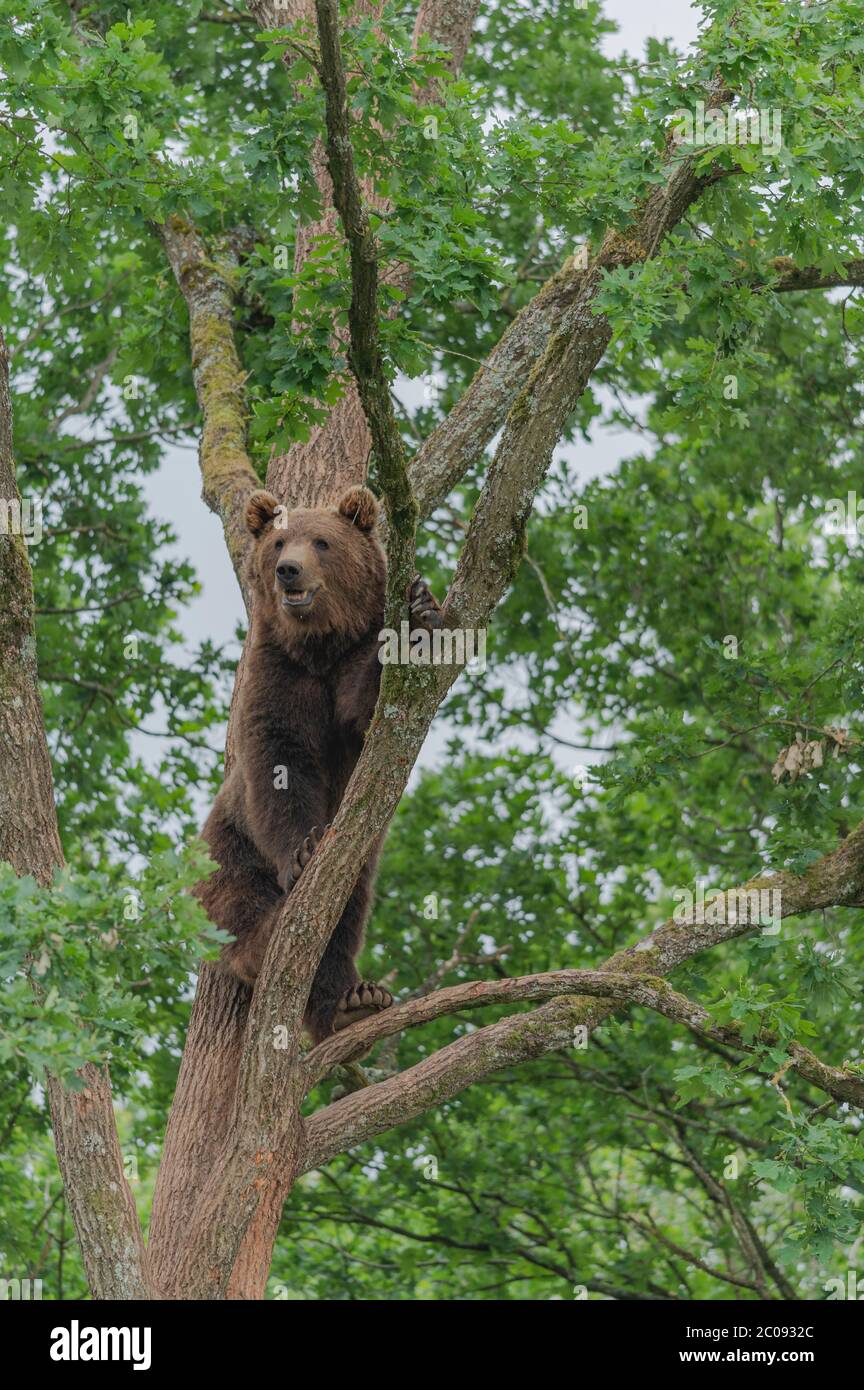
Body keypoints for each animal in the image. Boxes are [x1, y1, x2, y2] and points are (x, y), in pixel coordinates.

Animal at [196, 483, 440, 1043]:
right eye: (279, 542)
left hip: (358, 869)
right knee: (237, 907)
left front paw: (420, 607)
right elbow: (279, 761)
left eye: (323, 542)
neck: (319, 645)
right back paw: (264, 943)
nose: (289, 570)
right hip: (226, 850)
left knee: (345, 921)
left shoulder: (350, 662)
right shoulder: (278, 672)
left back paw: (354, 1000)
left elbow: (370, 706)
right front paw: (304, 848)